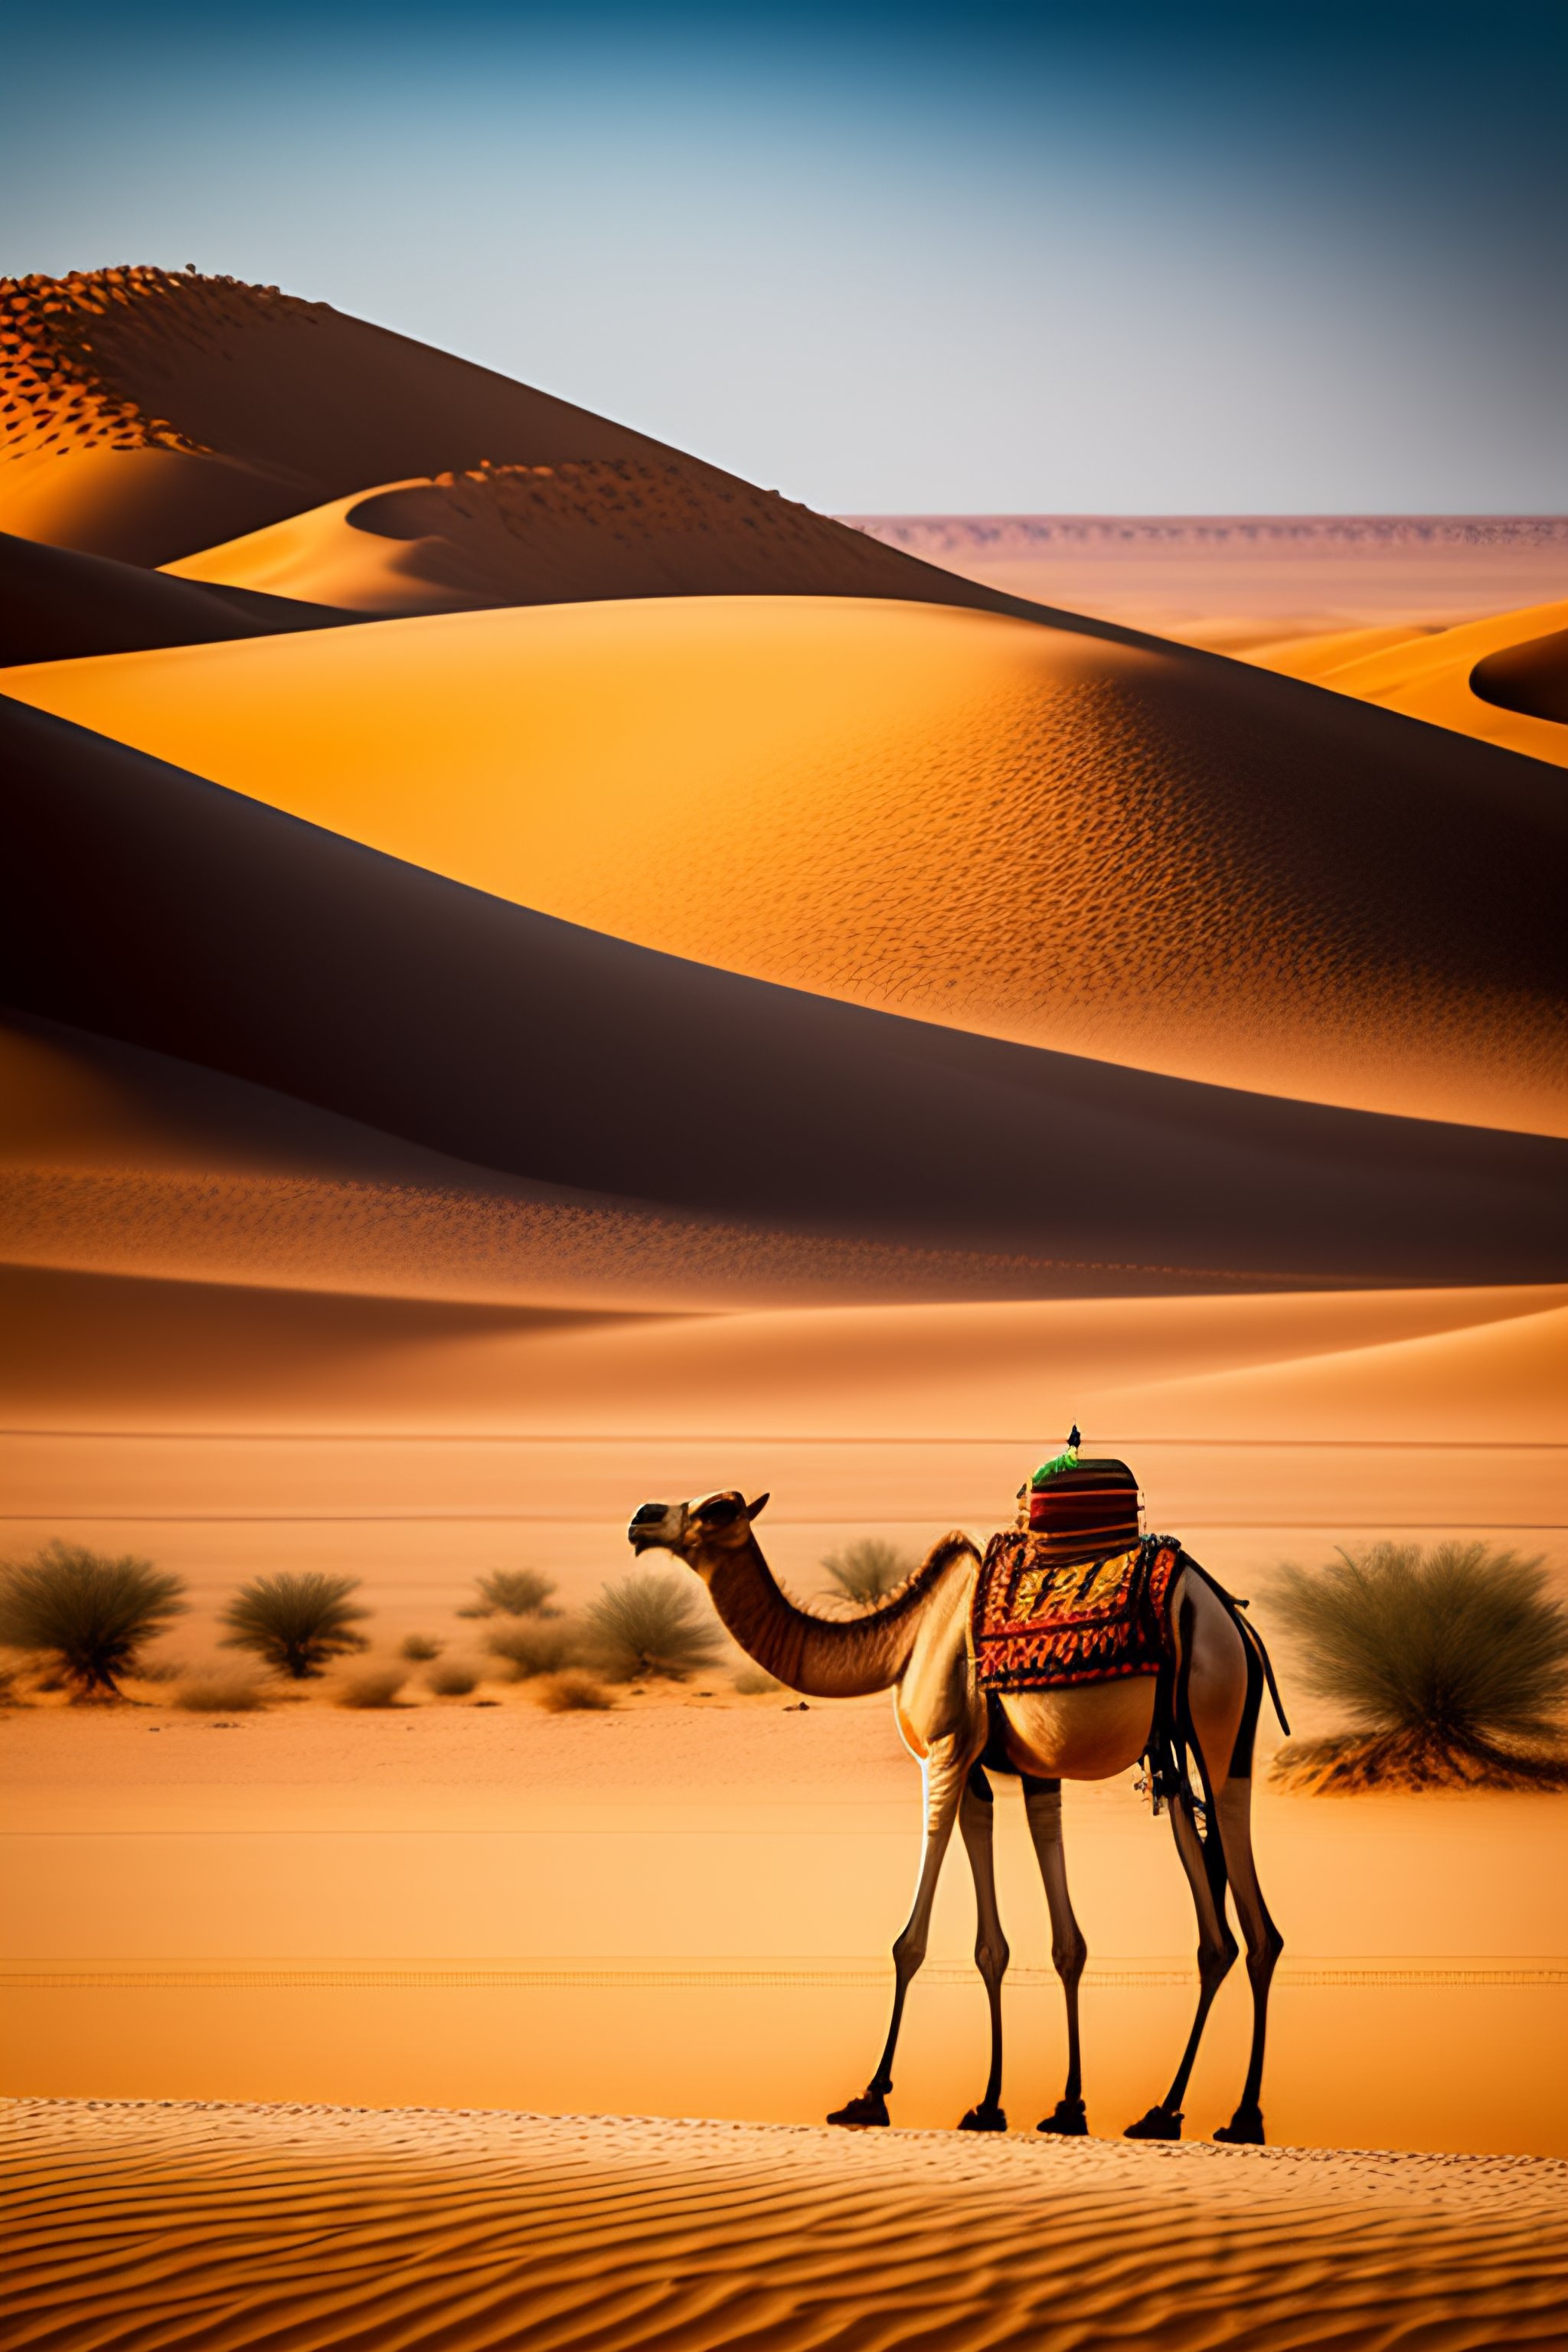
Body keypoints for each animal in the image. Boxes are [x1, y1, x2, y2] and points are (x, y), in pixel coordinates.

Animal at [628, 1487, 1284, 2144]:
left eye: (717, 1509)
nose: (642, 1520)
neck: (907, 1644)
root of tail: (1235, 1621)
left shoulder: (942, 1753)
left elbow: (910, 1943)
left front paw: (871, 2094)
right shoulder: (983, 1774)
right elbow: (1014, 1947)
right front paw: (1016, 2104)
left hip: (1215, 1722)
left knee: (1257, 1931)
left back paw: (1242, 2117)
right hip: (1178, 1748)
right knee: (1219, 1937)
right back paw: (1165, 2111)